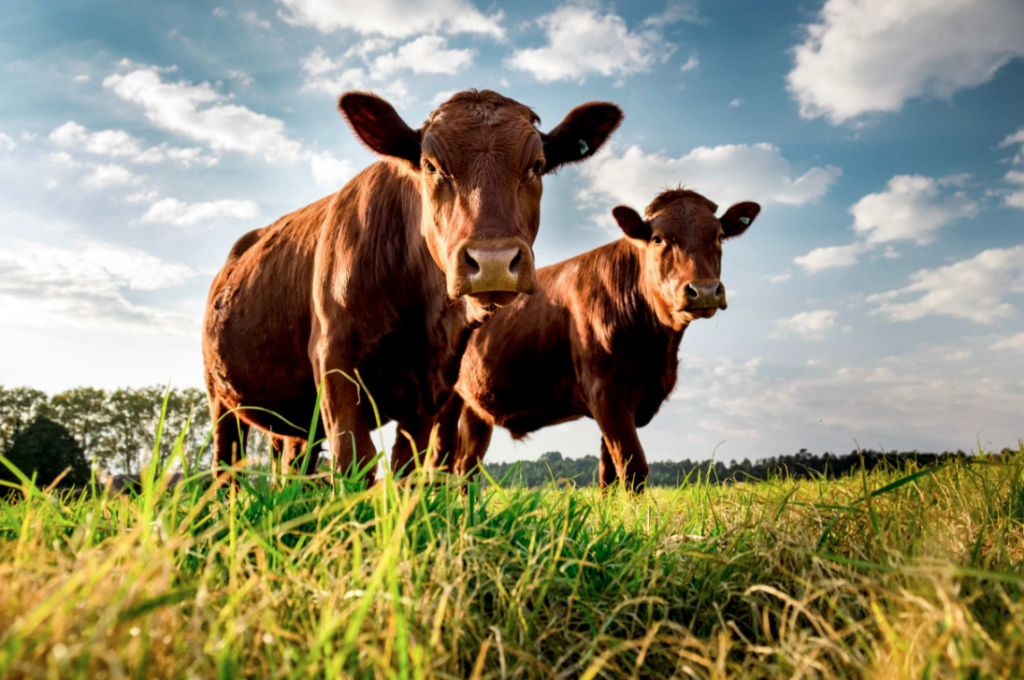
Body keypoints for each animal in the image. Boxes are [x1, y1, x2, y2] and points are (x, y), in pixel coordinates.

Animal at [202, 90, 623, 484]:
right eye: (430, 166)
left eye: (536, 166)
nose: (492, 262)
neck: (419, 312)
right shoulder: (333, 358)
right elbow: (354, 458)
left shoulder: (431, 388)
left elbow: (408, 469)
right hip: (220, 396)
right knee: (226, 465)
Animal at [436, 189, 760, 492]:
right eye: (658, 239)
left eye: (719, 236)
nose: (703, 291)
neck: (656, 351)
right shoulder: (605, 392)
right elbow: (633, 468)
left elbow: (610, 474)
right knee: (440, 460)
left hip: (476, 406)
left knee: (467, 465)